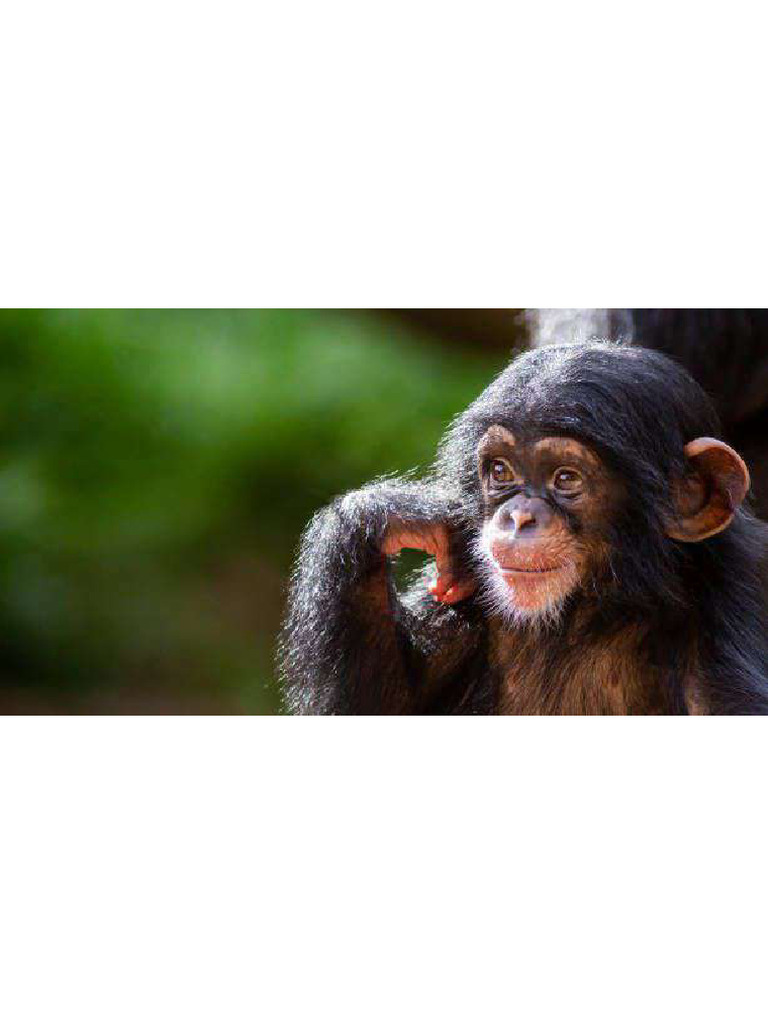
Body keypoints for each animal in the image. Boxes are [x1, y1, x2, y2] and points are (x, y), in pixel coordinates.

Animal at [280, 342, 768, 715]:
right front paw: (393, 513)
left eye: (566, 478)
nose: (519, 516)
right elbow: (385, 705)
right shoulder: (465, 588)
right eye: (501, 470)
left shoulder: (739, 599)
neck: (597, 611)